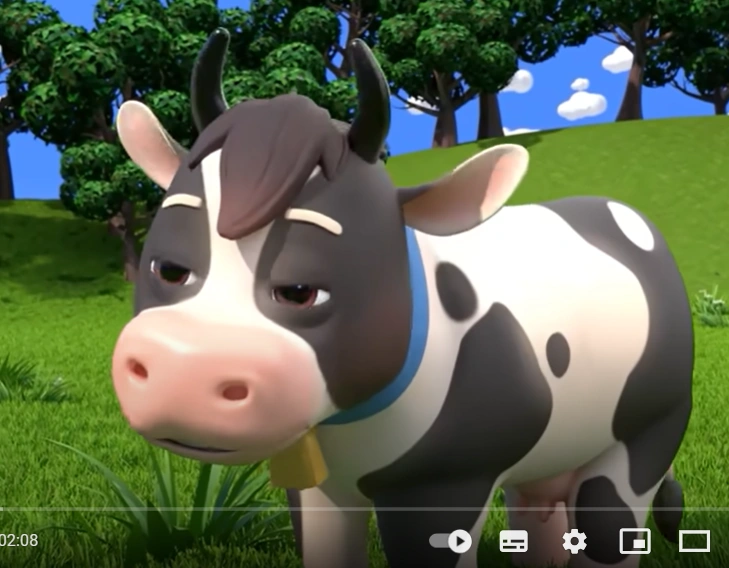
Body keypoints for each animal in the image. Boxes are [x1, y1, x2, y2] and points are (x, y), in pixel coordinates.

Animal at [110, 28, 692, 568]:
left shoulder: (447, 479)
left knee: (610, 517)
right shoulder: (318, 487)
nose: (183, 365)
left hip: (654, 420)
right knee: (538, 509)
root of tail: (623, 212)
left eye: (301, 291)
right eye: (169, 269)